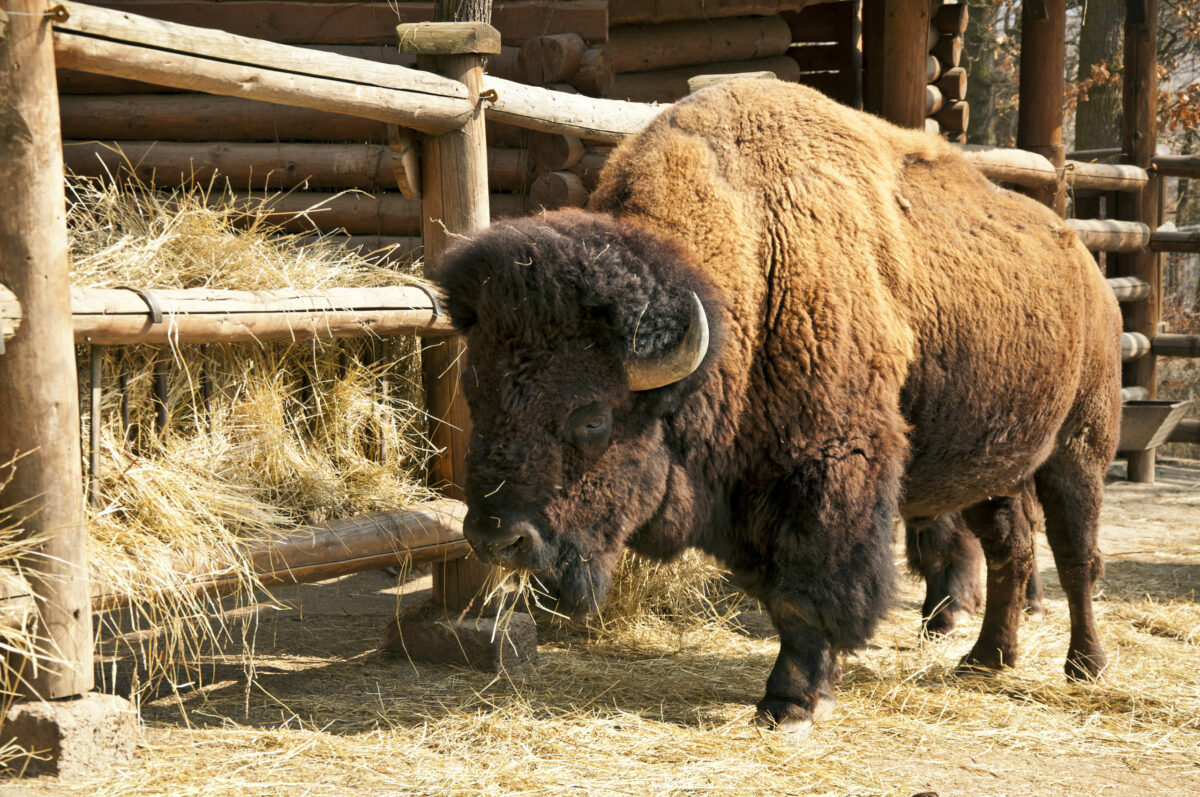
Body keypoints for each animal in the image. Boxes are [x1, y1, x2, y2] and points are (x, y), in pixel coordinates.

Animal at [433, 80, 1121, 737]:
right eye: (478, 393)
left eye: (592, 418)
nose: (497, 537)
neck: (748, 277)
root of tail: (1086, 264)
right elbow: (781, 595)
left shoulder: (827, 478)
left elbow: (804, 595)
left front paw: (788, 704)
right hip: (991, 468)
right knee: (1013, 550)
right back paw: (986, 659)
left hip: (1079, 450)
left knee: (1076, 556)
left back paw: (1085, 666)